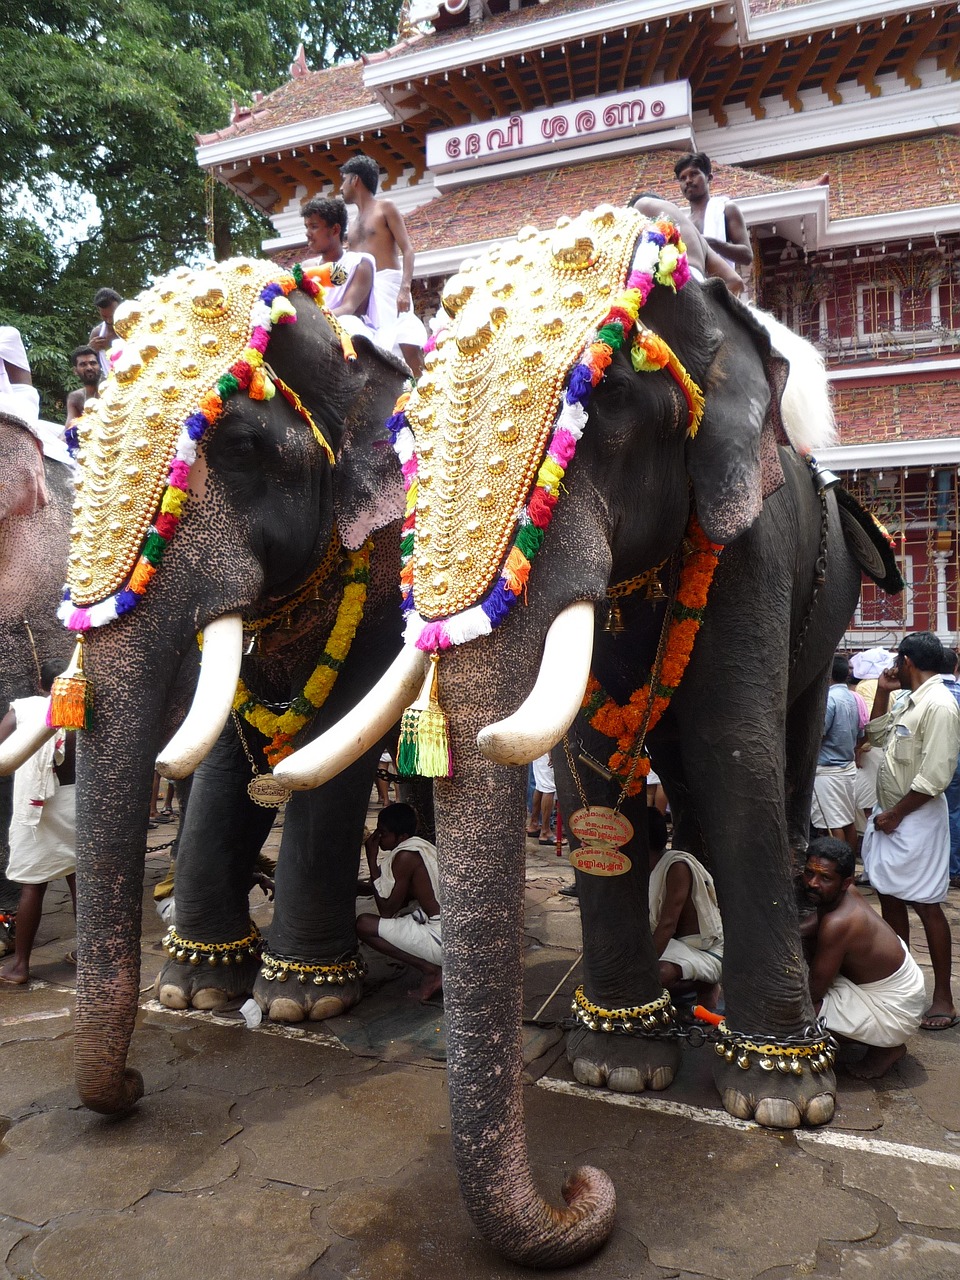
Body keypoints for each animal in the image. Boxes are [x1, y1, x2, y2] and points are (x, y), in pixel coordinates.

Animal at [1, 258, 412, 1113]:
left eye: (244, 446)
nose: (131, 1085)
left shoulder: (390, 572)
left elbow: (334, 744)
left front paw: (301, 1002)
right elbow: (222, 739)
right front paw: (195, 989)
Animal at [273, 206, 888, 1266]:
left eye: (602, 414)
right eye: (410, 438)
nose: (580, 1185)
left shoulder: (755, 538)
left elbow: (734, 747)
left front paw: (781, 1098)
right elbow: (589, 762)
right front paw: (618, 1064)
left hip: (833, 601)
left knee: (786, 741)